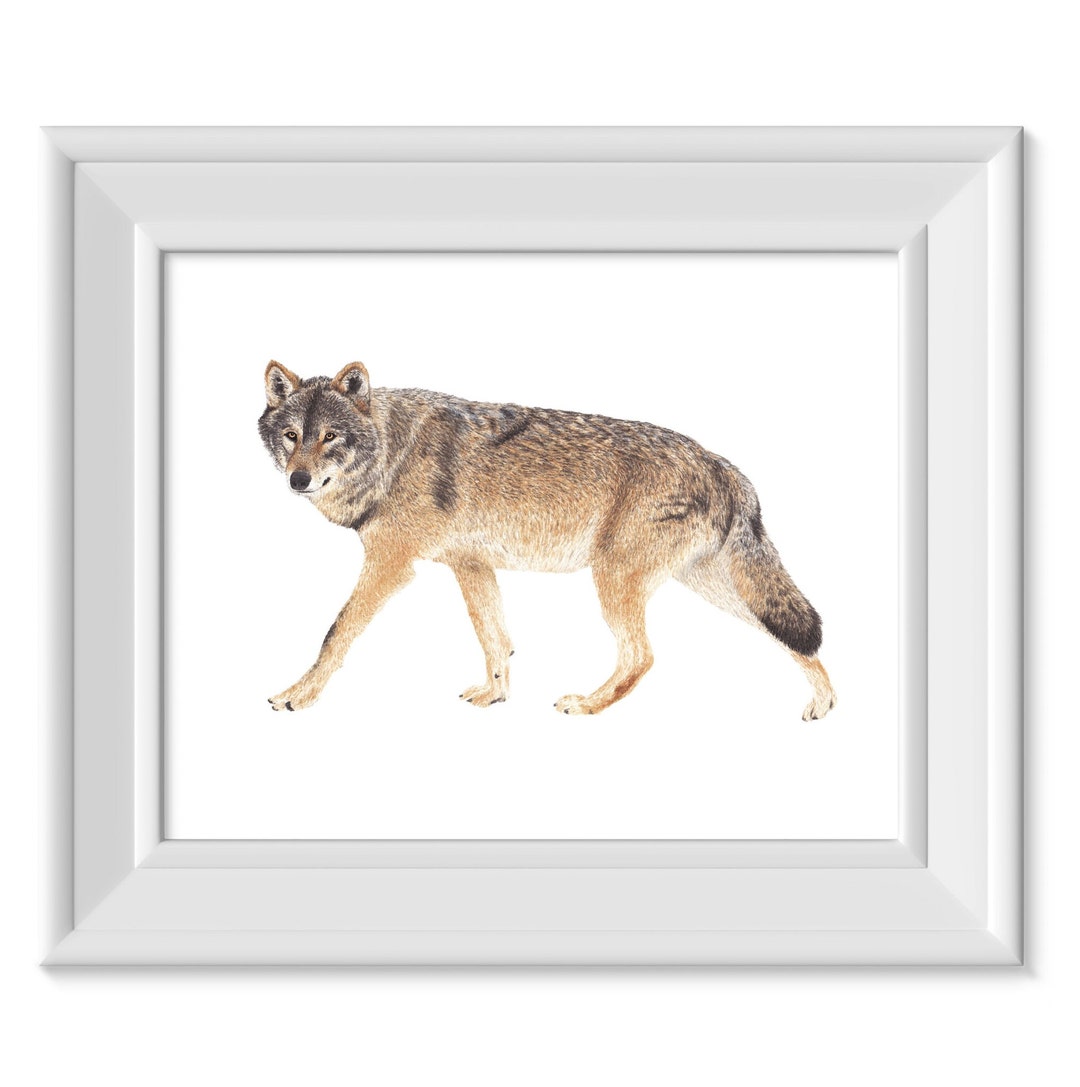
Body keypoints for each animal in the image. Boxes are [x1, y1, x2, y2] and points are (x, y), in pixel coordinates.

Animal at [258, 360, 837, 719]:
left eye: (329, 437)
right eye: (291, 436)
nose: (298, 480)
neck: (391, 454)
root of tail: (723, 465)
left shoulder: (390, 567)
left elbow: (335, 635)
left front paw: (296, 696)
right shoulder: (470, 566)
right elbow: (496, 639)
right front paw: (495, 695)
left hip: (615, 582)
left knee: (642, 657)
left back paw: (587, 705)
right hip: (719, 589)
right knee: (794, 636)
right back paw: (824, 703)